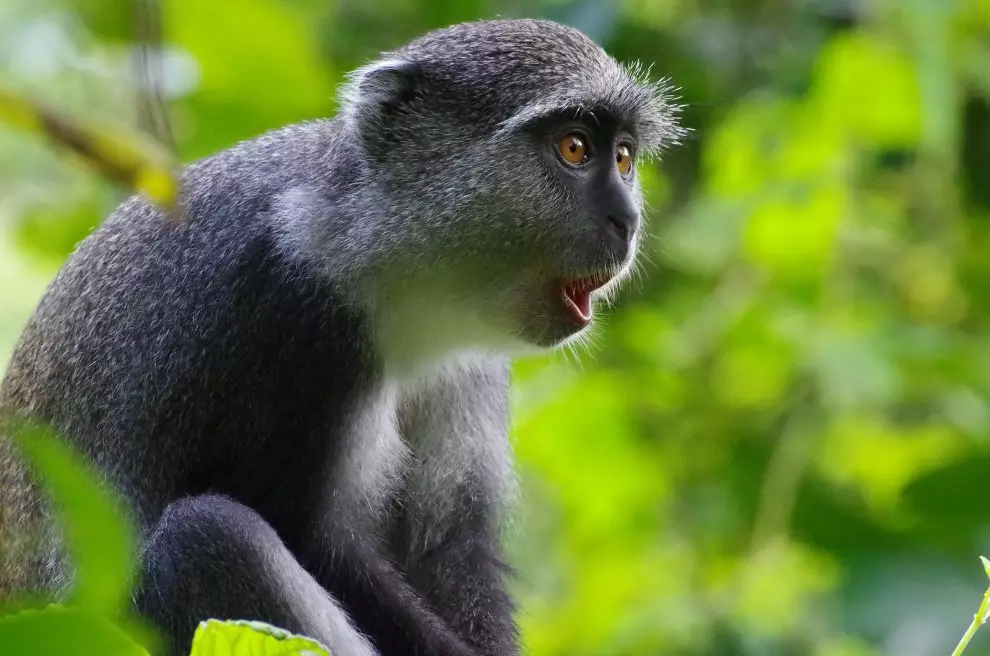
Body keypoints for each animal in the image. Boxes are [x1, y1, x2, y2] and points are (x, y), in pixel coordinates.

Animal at [0, 18, 680, 656]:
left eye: (623, 158)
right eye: (574, 148)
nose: (628, 220)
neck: (385, 255)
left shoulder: (469, 363)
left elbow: (450, 546)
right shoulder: (294, 312)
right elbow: (317, 539)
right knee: (206, 536)